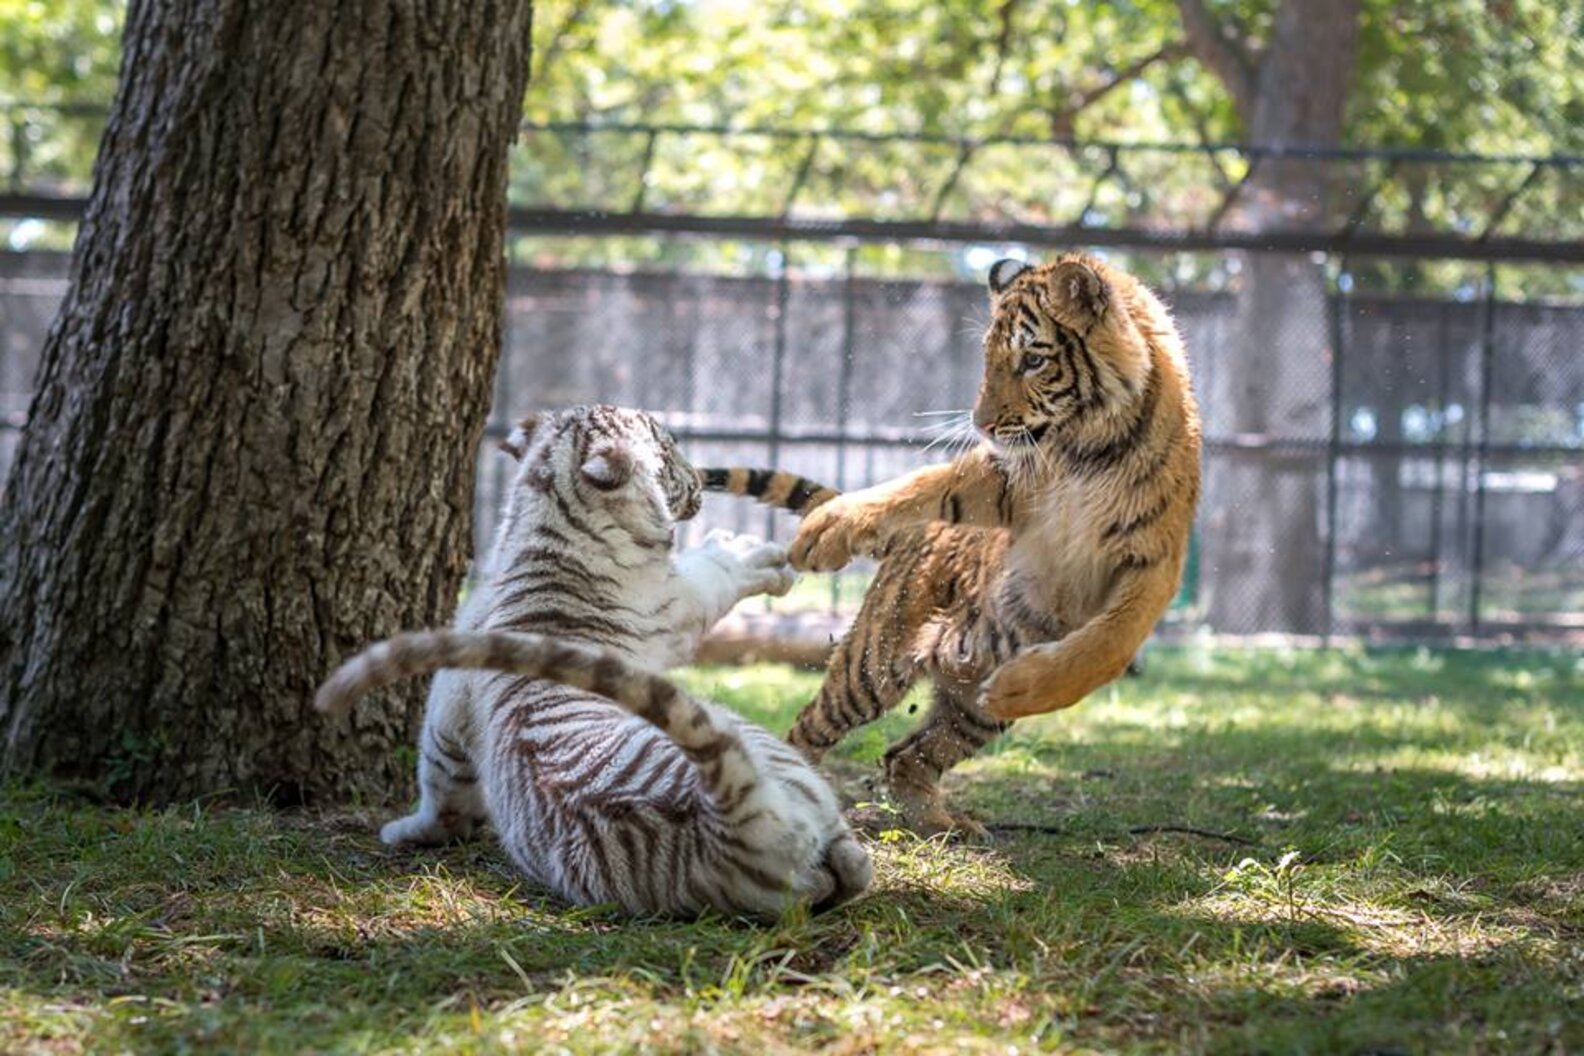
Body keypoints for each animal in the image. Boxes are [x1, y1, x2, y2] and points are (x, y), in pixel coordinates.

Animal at [317, 405, 871, 919]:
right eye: (670, 449)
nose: (700, 479)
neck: (546, 527)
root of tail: (728, 820)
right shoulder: (673, 604)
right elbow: (712, 575)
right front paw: (750, 554)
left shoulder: (448, 698)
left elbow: (442, 783)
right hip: (771, 753)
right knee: (850, 864)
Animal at [701, 254, 1201, 837]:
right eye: (990, 358)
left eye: (1033, 359)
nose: (981, 424)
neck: (1087, 447)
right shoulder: (1006, 481)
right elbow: (926, 485)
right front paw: (830, 528)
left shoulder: (1155, 561)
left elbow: (1107, 647)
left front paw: (1021, 687)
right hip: (870, 666)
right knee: (809, 728)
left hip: (969, 709)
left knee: (905, 756)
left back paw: (945, 823)